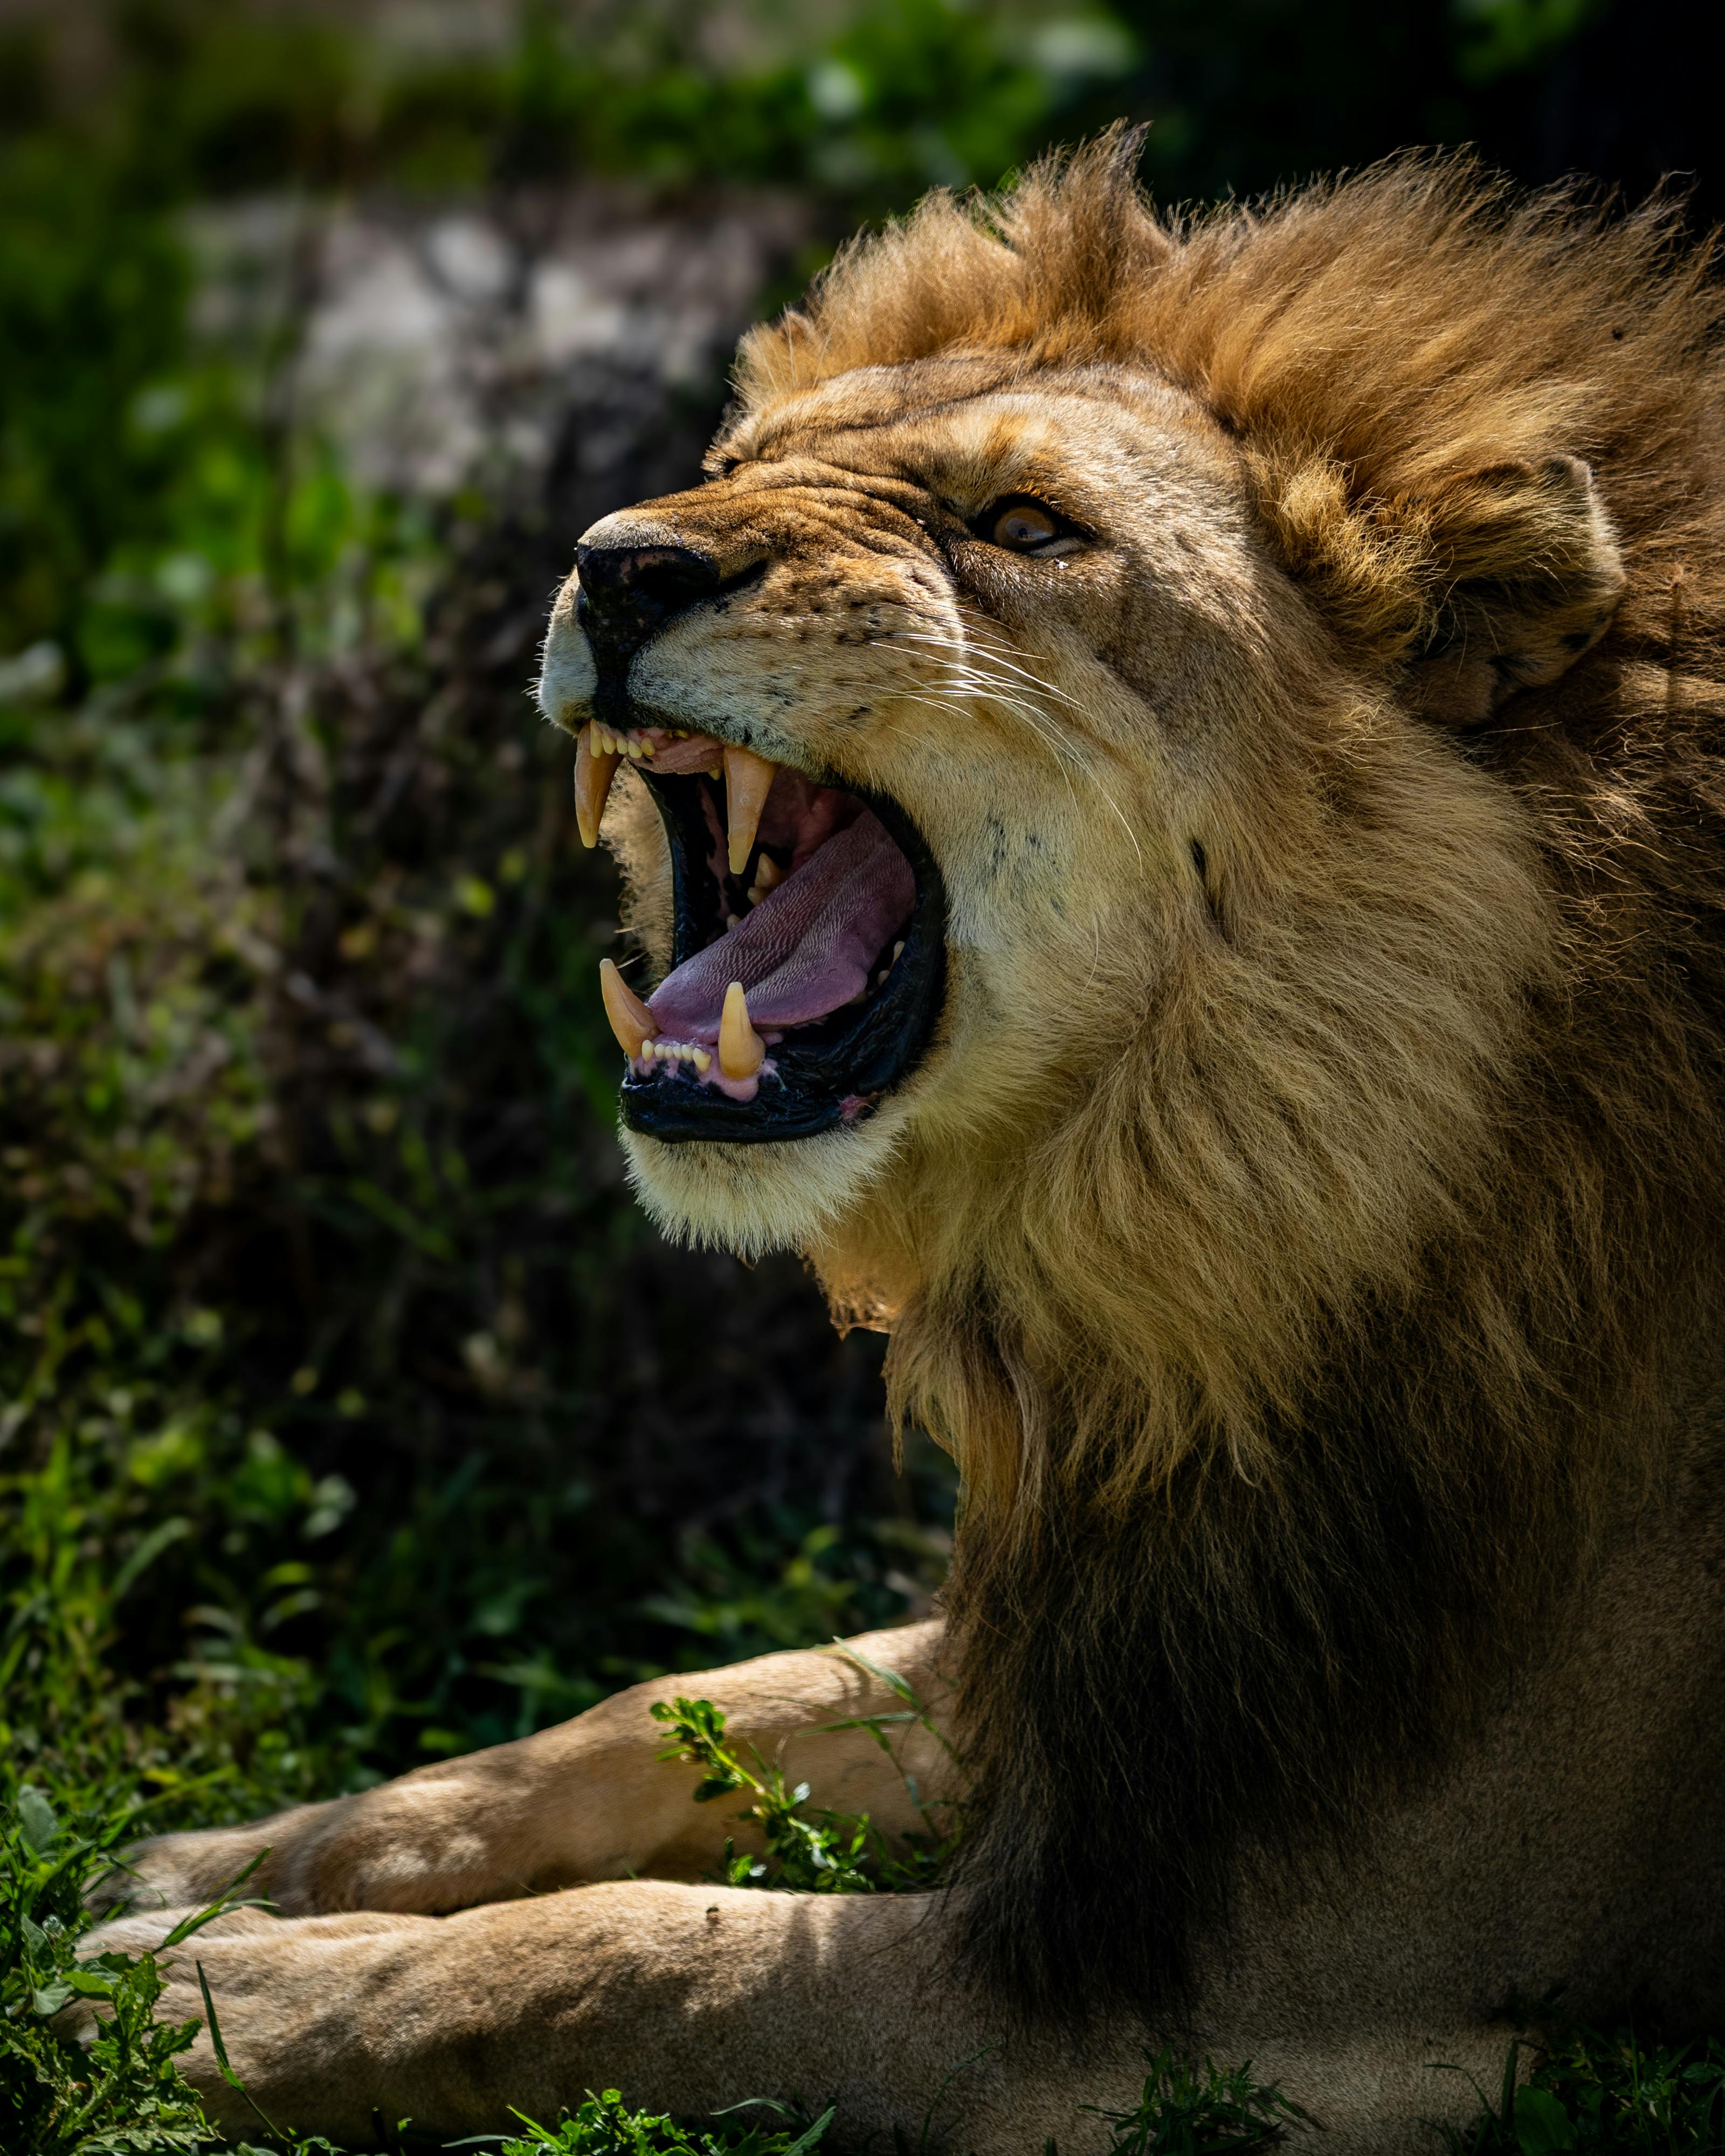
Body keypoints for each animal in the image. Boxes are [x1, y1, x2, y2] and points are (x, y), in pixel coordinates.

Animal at [88, 136, 1725, 2153]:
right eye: (730, 467)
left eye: (1024, 526)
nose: (612, 562)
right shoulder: (1111, 1638)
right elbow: (675, 1703)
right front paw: (249, 1861)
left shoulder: (1297, 1995)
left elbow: (644, 1959)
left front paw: (206, 1999)